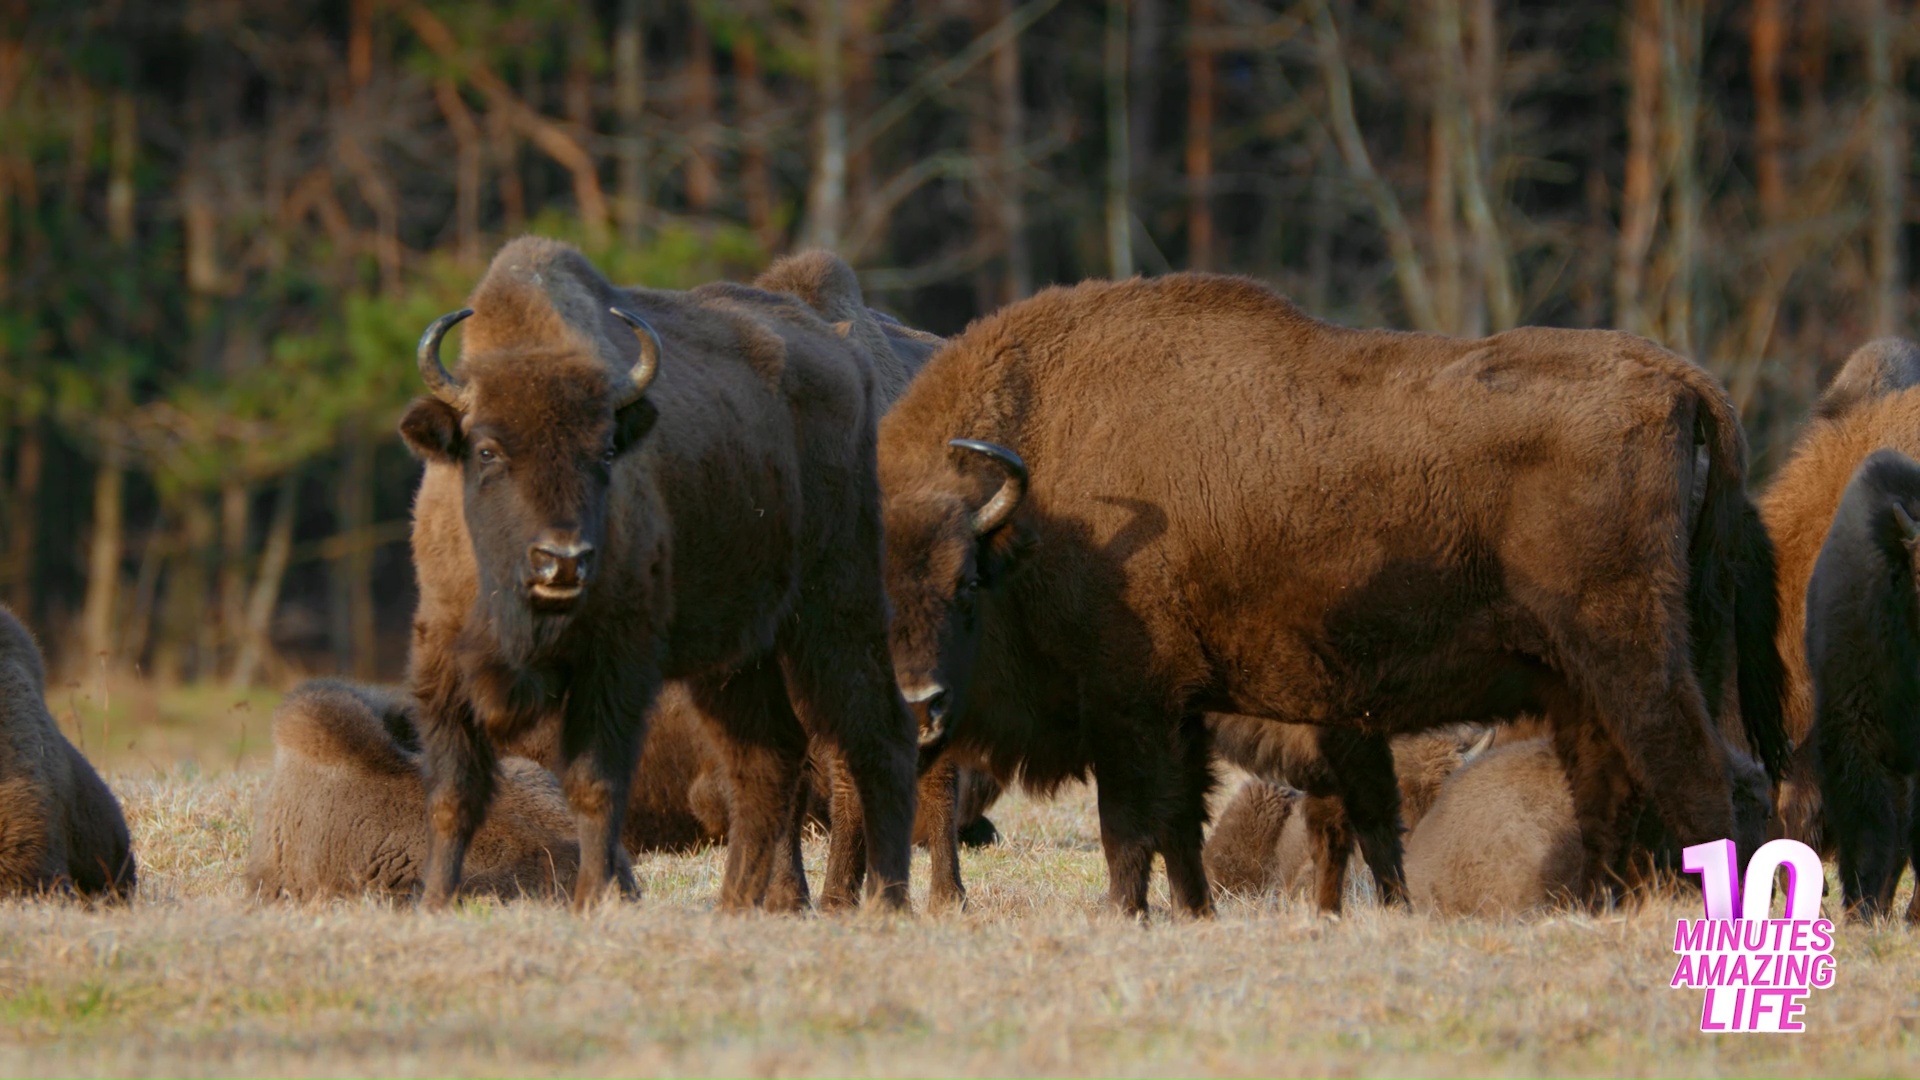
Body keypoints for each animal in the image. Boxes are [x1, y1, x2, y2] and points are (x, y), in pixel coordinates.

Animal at [399, 239, 919, 911]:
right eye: (487, 450)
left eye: (605, 452)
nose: (563, 560)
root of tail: (850, 359)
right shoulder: (443, 659)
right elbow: (452, 794)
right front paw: (434, 902)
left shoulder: (616, 663)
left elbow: (593, 786)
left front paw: (593, 900)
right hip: (738, 659)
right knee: (768, 759)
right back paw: (733, 907)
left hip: (836, 609)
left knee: (882, 734)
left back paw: (888, 900)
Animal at [878, 273, 1785, 917]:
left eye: (964, 584)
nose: (917, 705)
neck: (1033, 498)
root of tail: (1679, 379)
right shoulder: (1180, 710)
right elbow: (1179, 826)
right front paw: (1193, 915)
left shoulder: (1129, 704)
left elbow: (1130, 829)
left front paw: (1121, 916)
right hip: (1579, 680)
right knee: (1611, 788)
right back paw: (1590, 908)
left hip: (1633, 655)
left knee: (1697, 773)